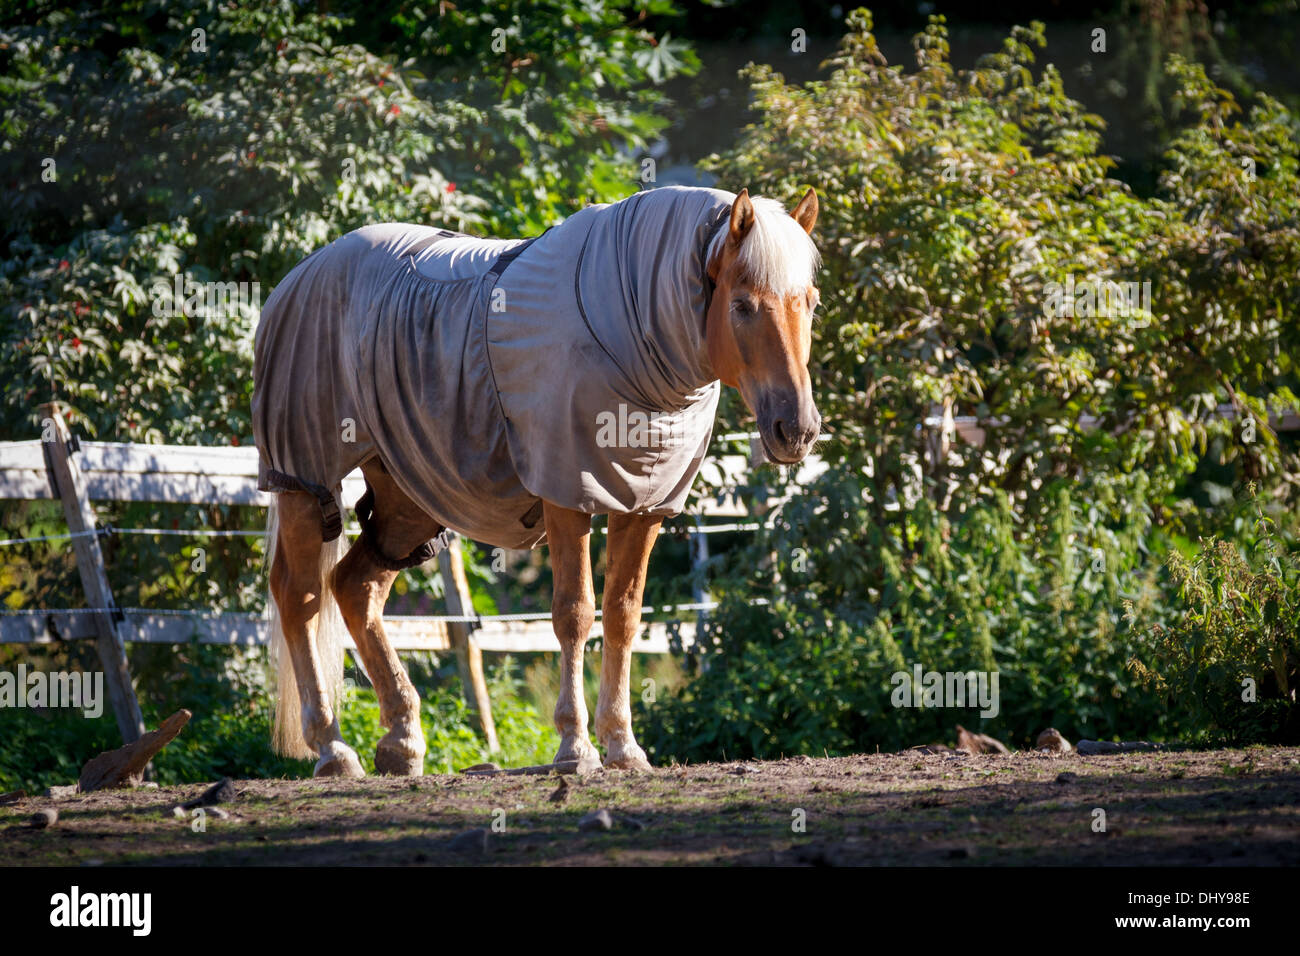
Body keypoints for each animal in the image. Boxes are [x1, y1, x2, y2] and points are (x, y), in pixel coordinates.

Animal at [252, 185, 821, 777]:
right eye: (742, 305)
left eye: (810, 301)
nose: (797, 428)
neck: (625, 324)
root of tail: (302, 275)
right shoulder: (568, 494)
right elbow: (575, 614)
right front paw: (575, 745)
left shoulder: (646, 505)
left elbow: (622, 615)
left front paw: (623, 744)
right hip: (304, 478)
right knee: (299, 595)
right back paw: (332, 747)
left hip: (407, 500)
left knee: (354, 588)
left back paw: (402, 740)